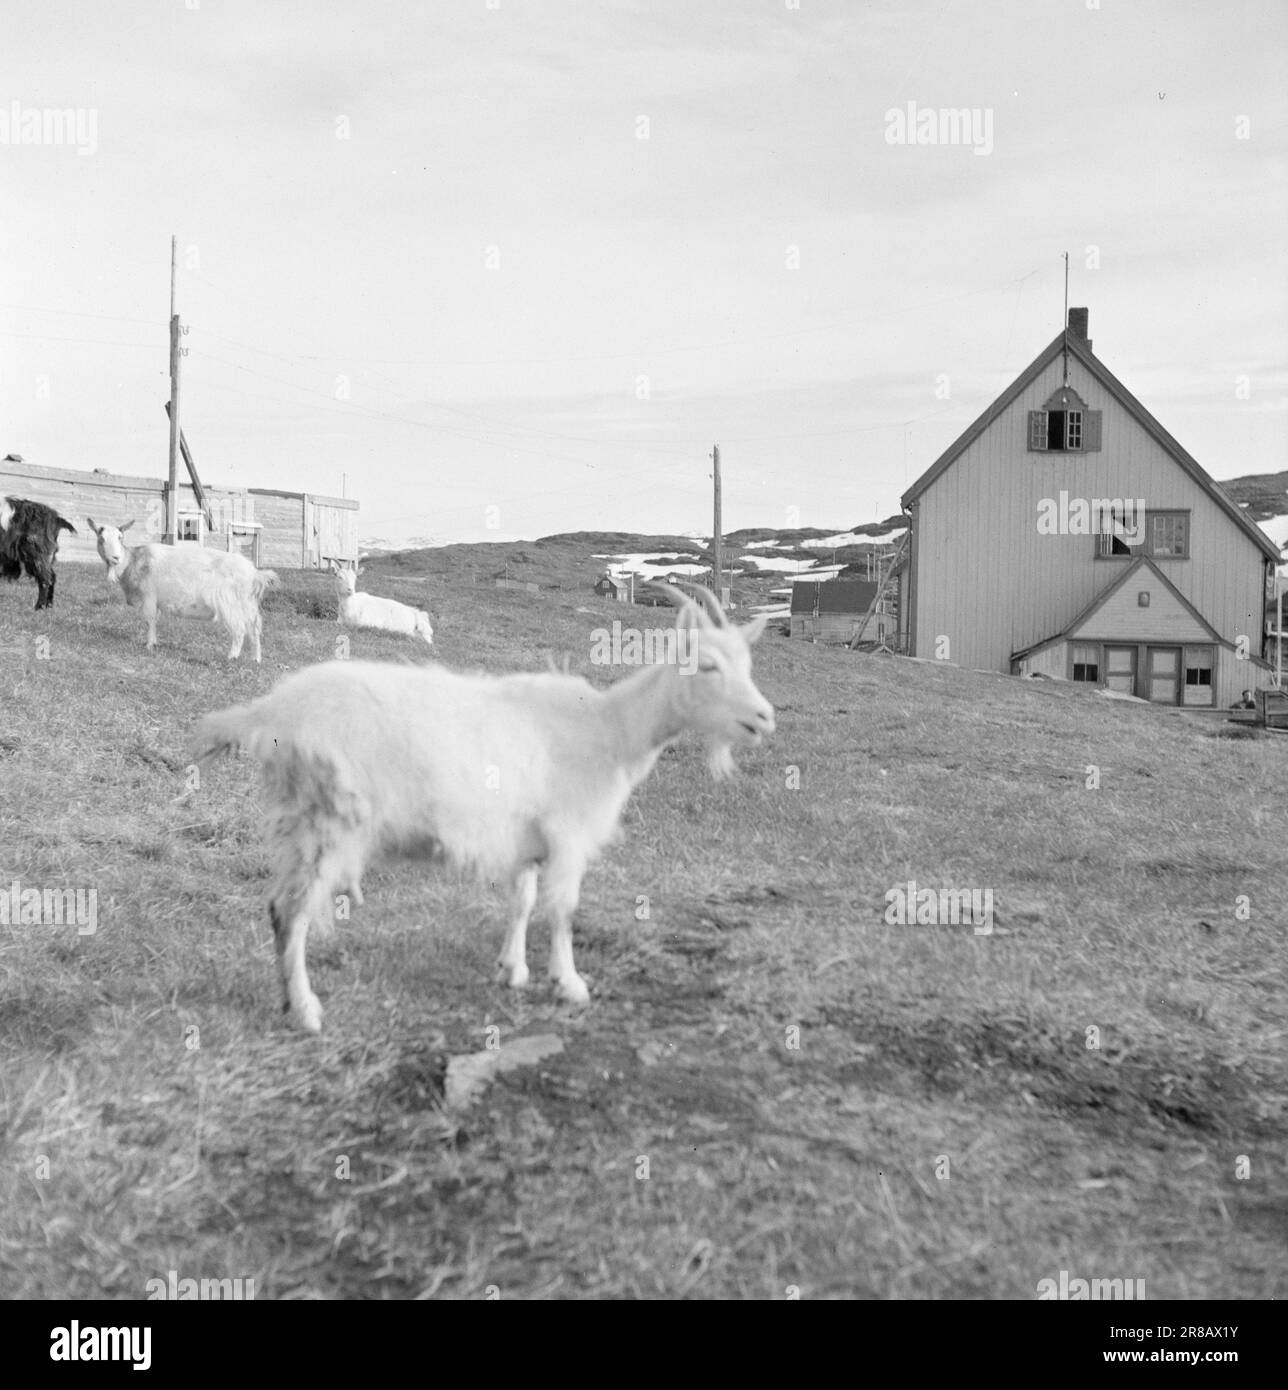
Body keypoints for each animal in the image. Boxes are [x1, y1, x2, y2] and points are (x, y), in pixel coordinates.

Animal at [87, 518, 279, 662]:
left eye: (120, 537)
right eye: (101, 538)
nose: (115, 558)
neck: (133, 560)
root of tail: (255, 573)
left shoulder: (149, 596)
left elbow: (149, 620)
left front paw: (149, 645)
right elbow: (154, 620)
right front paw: (153, 643)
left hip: (229, 604)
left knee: (239, 630)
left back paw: (231, 657)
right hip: (248, 605)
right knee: (254, 630)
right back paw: (255, 659)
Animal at [188, 583, 773, 1032]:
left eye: (749, 663)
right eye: (706, 664)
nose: (764, 717)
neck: (613, 730)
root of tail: (272, 710)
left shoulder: (525, 838)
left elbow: (522, 901)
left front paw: (511, 969)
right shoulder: (568, 834)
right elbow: (562, 910)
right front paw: (570, 984)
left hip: (301, 819)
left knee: (277, 908)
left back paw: (290, 1001)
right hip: (329, 819)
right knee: (292, 913)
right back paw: (306, 1011)